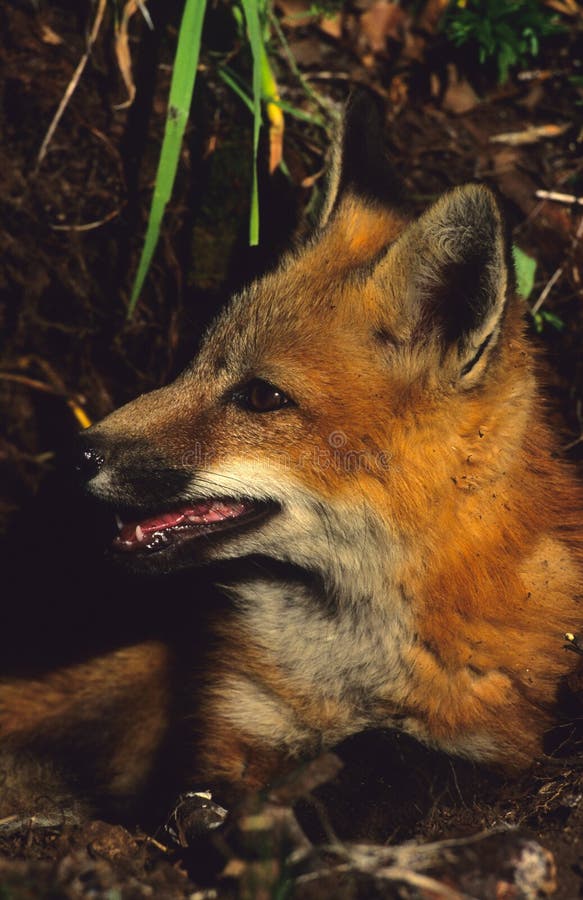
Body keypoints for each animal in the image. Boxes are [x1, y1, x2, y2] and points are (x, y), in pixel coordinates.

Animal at [1, 92, 582, 819]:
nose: (75, 456)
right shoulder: (237, 723)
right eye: (194, 363)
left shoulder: (490, 751)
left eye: (260, 396)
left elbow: (391, 757)